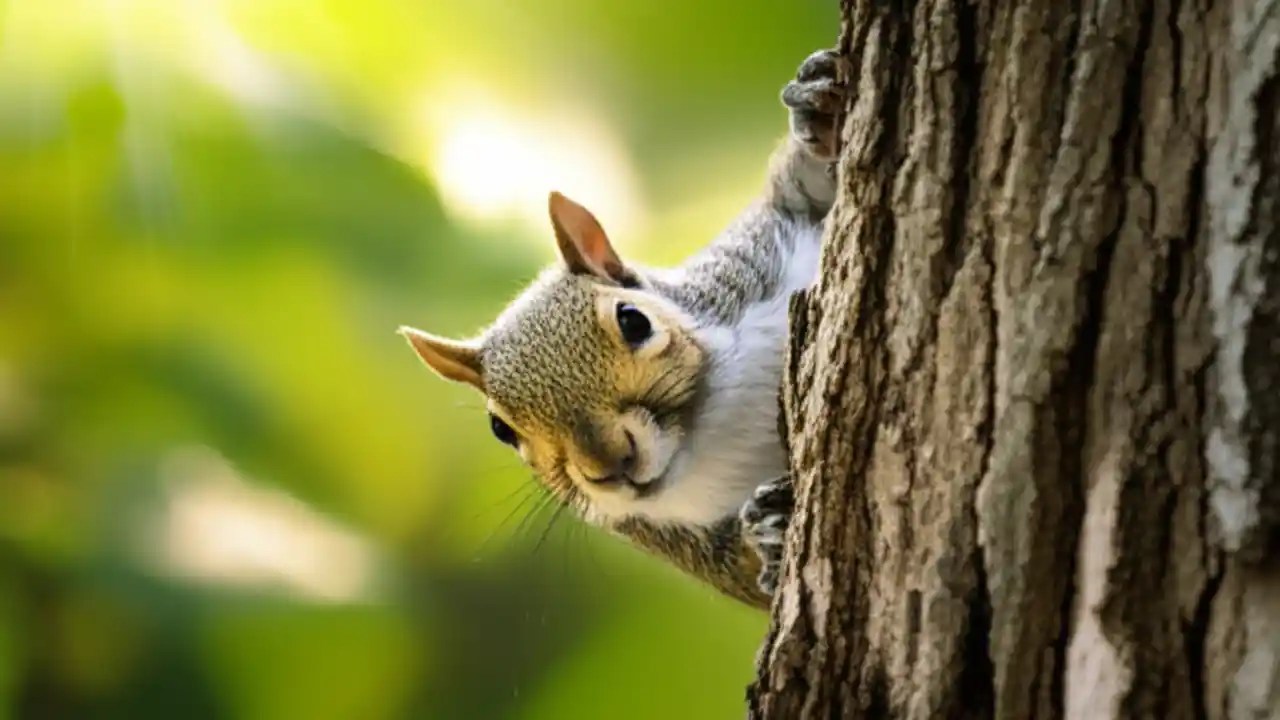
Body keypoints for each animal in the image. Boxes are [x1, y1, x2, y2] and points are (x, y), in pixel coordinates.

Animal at [400, 49, 845, 610]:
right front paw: (769, 533)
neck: (707, 429)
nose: (611, 461)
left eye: (634, 321)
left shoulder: (758, 251)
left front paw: (818, 107)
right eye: (501, 429)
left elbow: (805, 194)